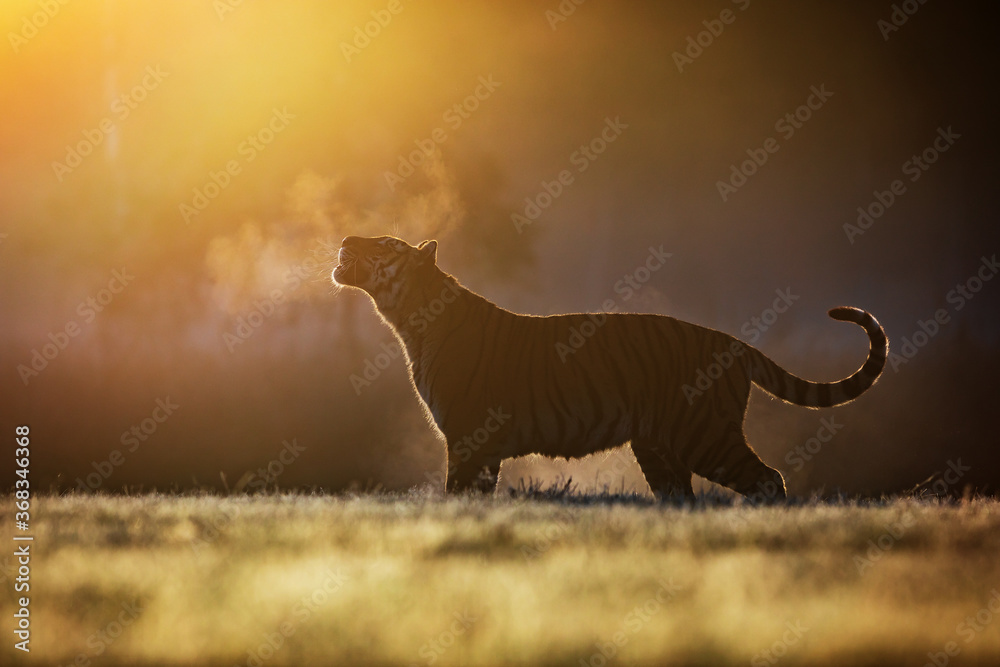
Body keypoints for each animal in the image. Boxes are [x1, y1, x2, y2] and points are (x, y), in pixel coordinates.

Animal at [332, 235, 888, 500]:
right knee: (683, 497)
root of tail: (734, 342)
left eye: (385, 244)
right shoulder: (478, 444)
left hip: (704, 434)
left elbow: (459, 495)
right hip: (660, 447)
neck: (409, 320)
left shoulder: (470, 438)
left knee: (768, 479)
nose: (346, 238)